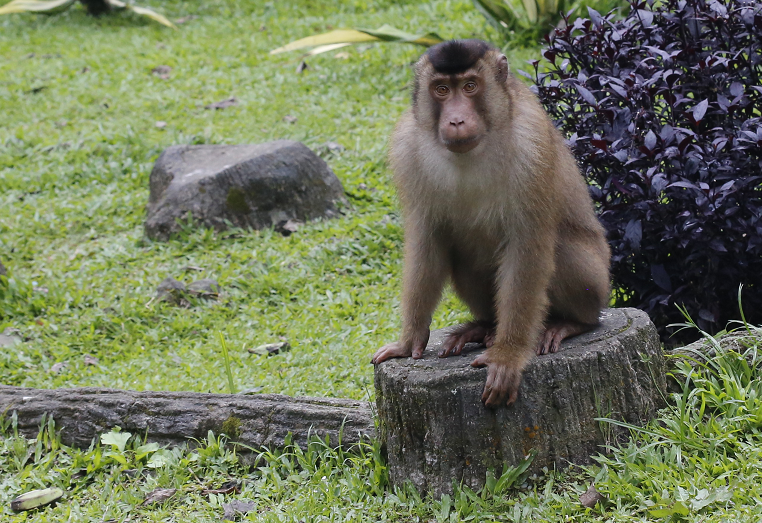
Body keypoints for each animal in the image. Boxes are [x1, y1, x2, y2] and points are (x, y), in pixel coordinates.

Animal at [371, 39, 611, 408]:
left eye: (470, 86)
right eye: (442, 89)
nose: (456, 120)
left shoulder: (532, 146)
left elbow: (528, 246)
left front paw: (508, 355)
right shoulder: (406, 148)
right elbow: (427, 240)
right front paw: (409, 339)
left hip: (598, 284)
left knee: (558, 251)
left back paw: (570, 323)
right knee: (463, 254)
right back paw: (483, 327)